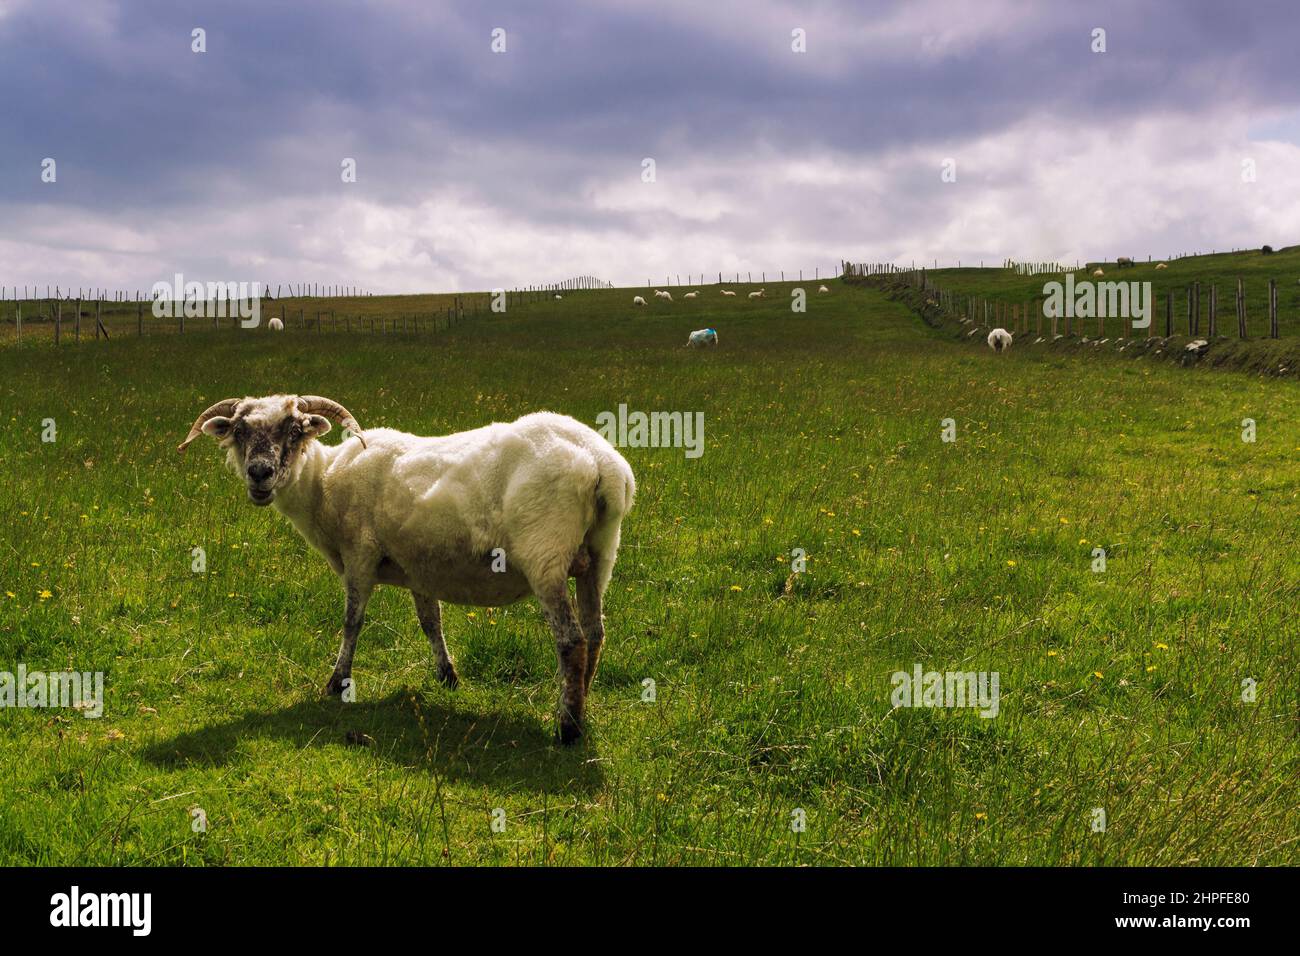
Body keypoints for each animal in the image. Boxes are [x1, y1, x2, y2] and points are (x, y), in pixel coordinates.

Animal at [178, 395, 635, 744]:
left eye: (293, 430)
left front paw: (337, 683)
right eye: (239, 432)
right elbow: (431, 622)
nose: (260, 474)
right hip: (600, 554)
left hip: (546, 555)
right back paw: (580, 703)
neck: (324, 483)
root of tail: (601, 463)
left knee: (571, 640)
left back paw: (567, 727)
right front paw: (447, 676)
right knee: (596, 634)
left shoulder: (359, 556)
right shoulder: (421, 567)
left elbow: (352, 622)